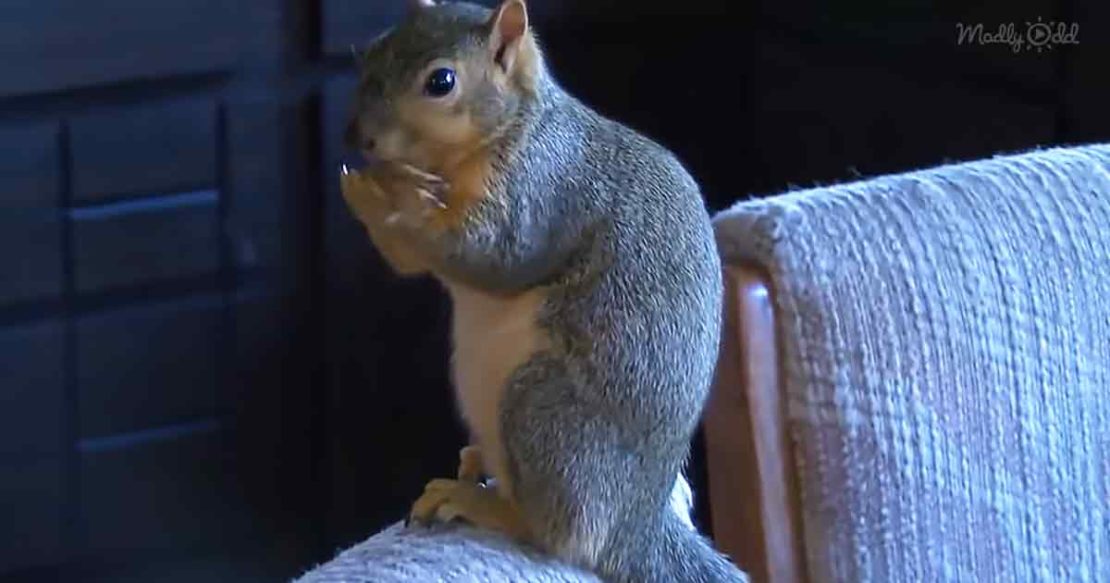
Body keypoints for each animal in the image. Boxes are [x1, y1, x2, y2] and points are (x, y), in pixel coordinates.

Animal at [340, 1, 747, 581]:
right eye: (375, 45)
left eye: (441, 82)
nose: (358, 137)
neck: (512, 126)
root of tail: (636, 529)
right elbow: (410, 261)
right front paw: (373, 186)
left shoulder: (545, 187)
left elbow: (496, 252)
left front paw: (390, 195)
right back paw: (476, 463)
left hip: (544, 414)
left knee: (559, 535)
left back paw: (481, 503)